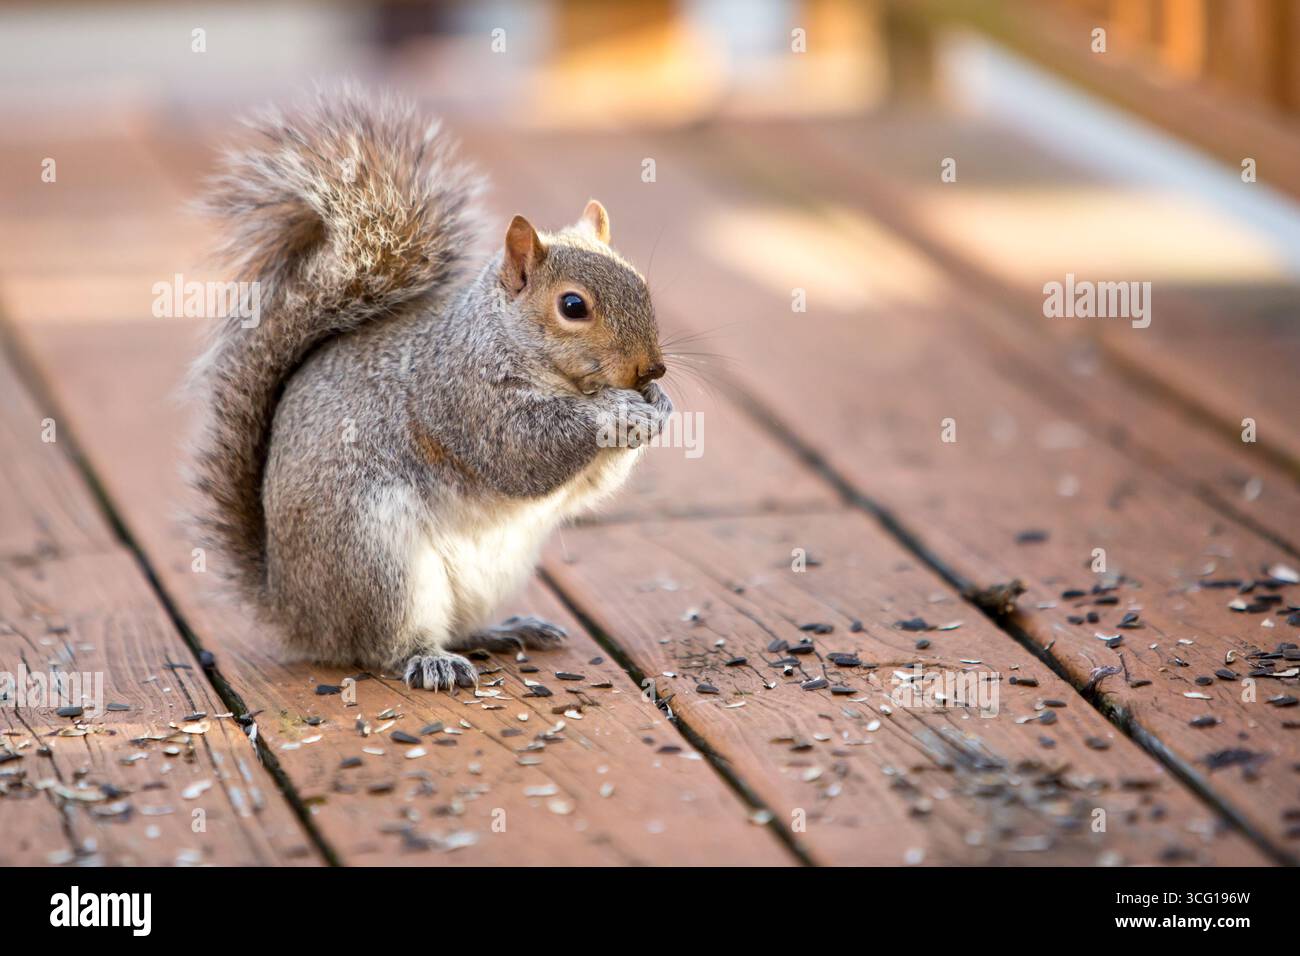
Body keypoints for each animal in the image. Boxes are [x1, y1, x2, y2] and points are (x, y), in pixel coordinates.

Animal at [189, 88, 671, 691]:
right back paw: (429, 659)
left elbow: (586, 485)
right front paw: (618, 409)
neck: (499, 336)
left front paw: (659, 408)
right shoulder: (461, 397)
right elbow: (523, 452)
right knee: (383, 645)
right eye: (572, 306)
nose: (652, 371)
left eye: (641, 282)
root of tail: (295, 612)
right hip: (377, 558)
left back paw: (506, 629)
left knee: (456, 627)